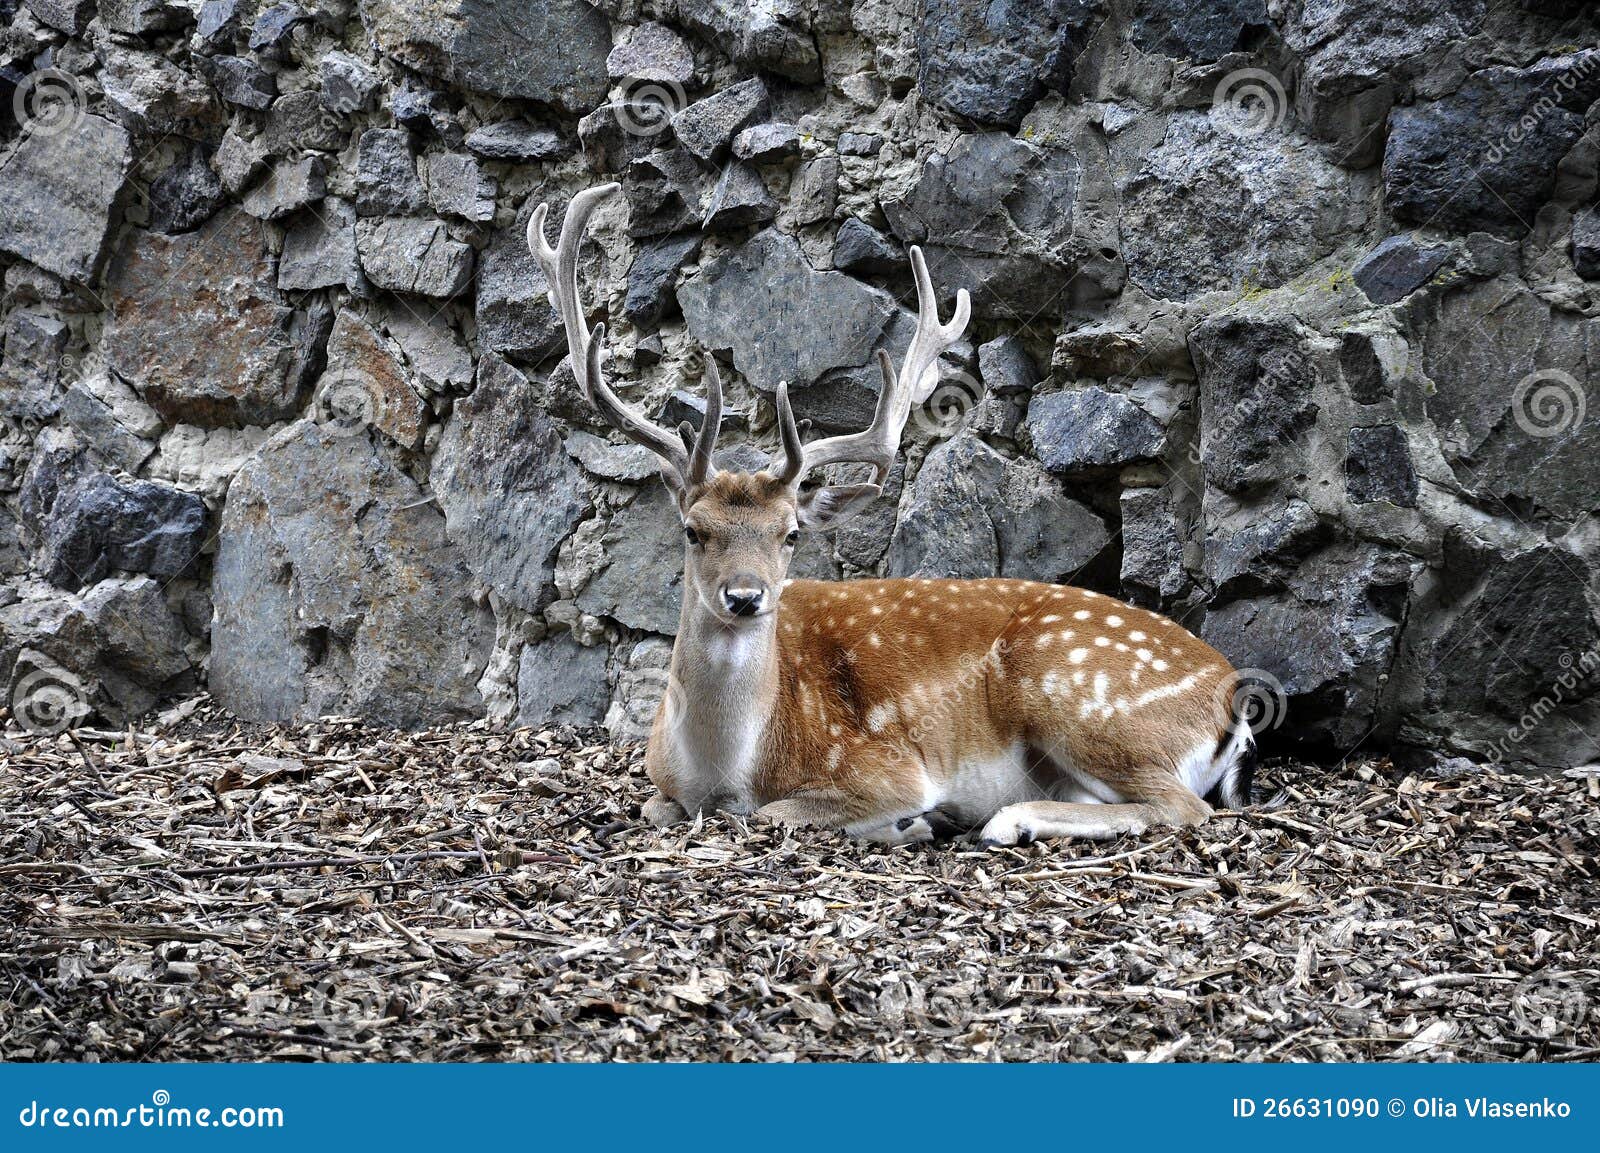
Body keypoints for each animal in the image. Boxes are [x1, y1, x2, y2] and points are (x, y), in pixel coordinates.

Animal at [529, 183, 1258, 847]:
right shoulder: (662, 784)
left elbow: (775, 813)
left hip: (1080, 696)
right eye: (693, 530)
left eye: (790, 534)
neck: (725, 772)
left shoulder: (887, 765)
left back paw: (999, 820)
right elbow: (658, 808)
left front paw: (911, 821)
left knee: (1183, 807)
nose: (745, 596)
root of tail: (1234, 699)